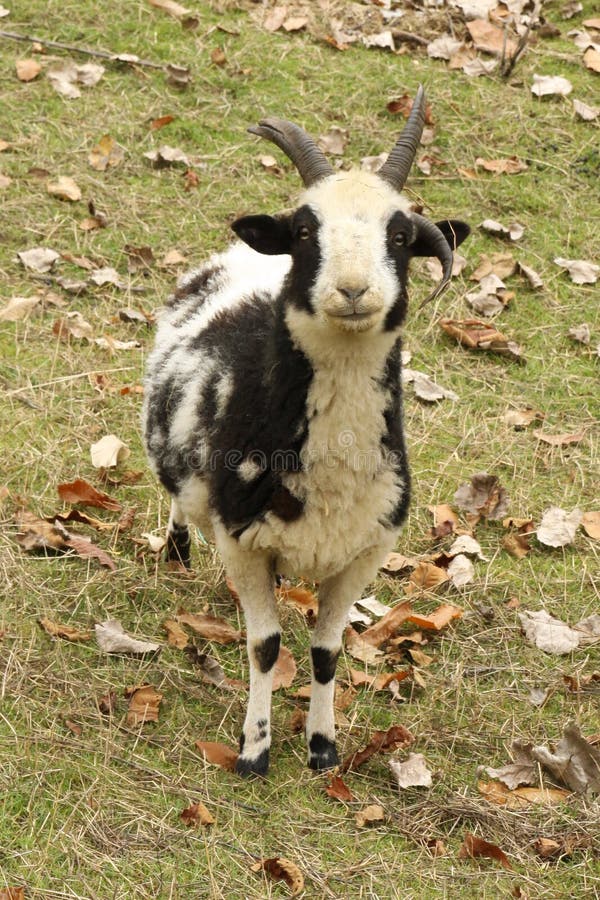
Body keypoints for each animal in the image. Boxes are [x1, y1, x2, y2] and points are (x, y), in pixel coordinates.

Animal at [143, 86, 470, 777]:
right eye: (303, 230)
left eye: (400, 235)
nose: (353, 290)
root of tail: (244, 255)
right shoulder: (243, 540)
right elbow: (264, 647)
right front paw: (255, 749)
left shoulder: (366, 552)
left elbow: (326, 652)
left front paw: (323, 746)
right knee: (178, 497)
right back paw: (178, 547)